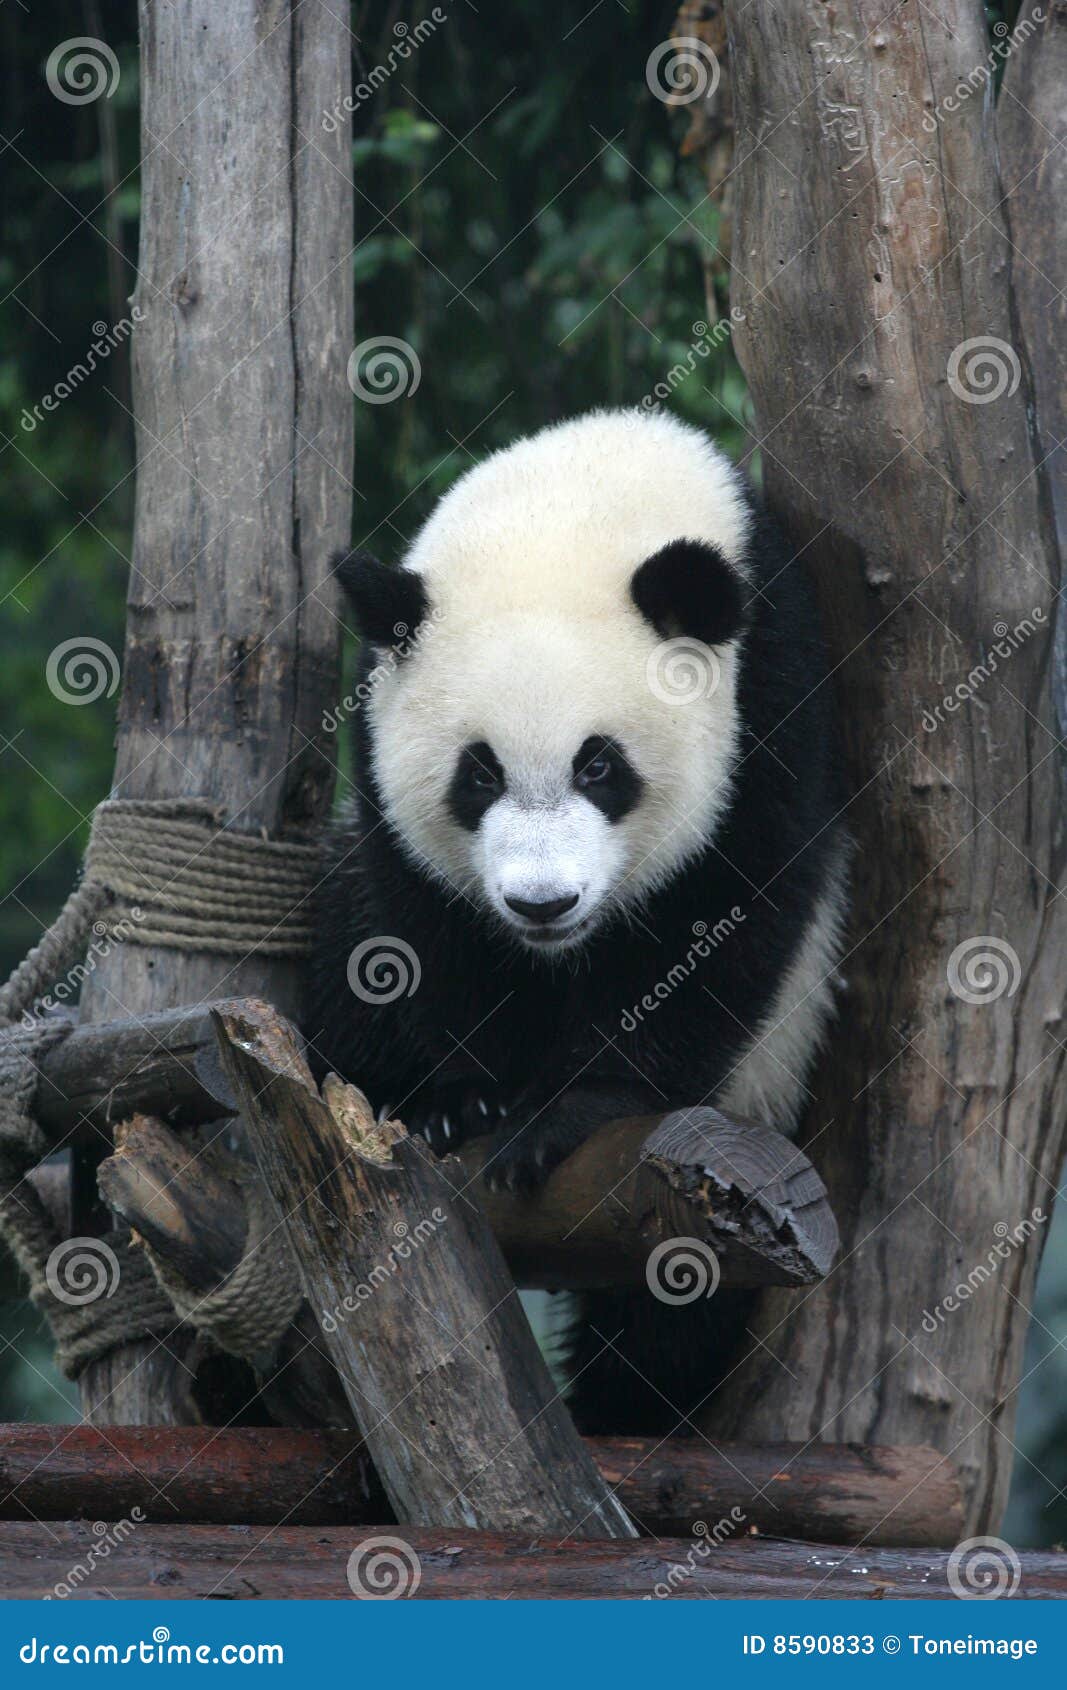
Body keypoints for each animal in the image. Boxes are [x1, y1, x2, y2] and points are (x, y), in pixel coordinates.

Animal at [310, 407, 849, 1434]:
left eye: (600, 766)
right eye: (477, 773)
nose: (542, 903)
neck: (578, 495)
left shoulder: (770, 697)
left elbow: (721, 923)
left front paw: (560, 1115)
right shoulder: (375, 748)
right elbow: (422, 923)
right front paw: (463, 1099)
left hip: (764, 1088)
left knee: (668, 1320)